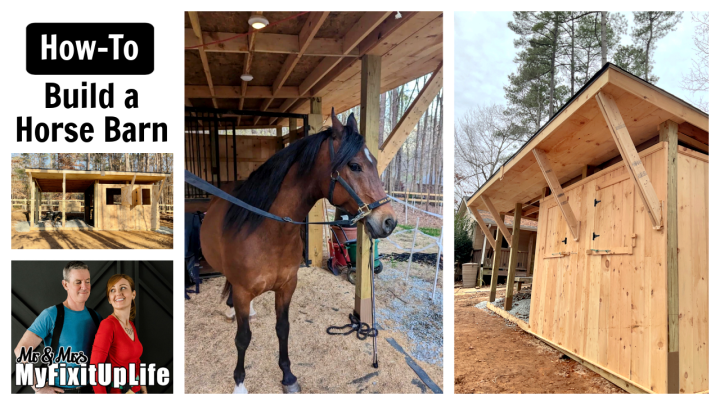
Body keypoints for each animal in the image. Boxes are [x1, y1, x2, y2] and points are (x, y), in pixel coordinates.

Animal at [200, 110, 397, 394]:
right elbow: (243, 338)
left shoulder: (286, 287)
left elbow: (283, 329)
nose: (389, 222)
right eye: (355, 165)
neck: (267, 233)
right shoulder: (243, 292)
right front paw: (239, 383)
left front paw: (288, 376)